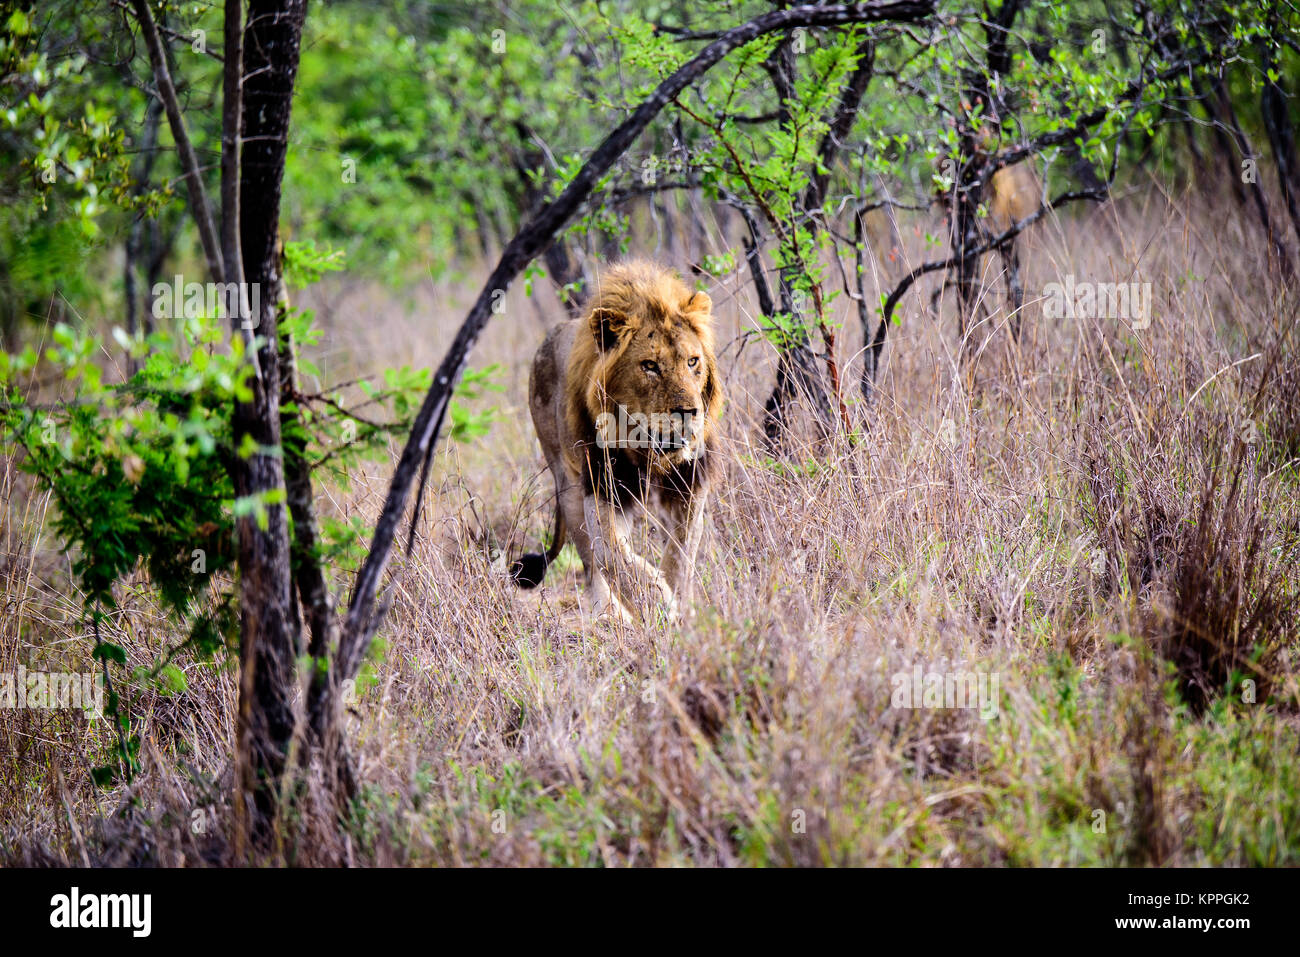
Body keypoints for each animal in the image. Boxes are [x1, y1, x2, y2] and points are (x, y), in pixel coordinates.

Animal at [510, 260, 723, 623]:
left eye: (693, 361)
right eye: (649, 366)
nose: (688, 413)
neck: (648, 454)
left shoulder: (690, 486)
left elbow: (680, 556)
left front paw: (681, 609)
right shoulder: (601, 490)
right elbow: (613, 557)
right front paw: (658, 607)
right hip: (567, 482)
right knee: (589, 562)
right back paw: (607, 614)